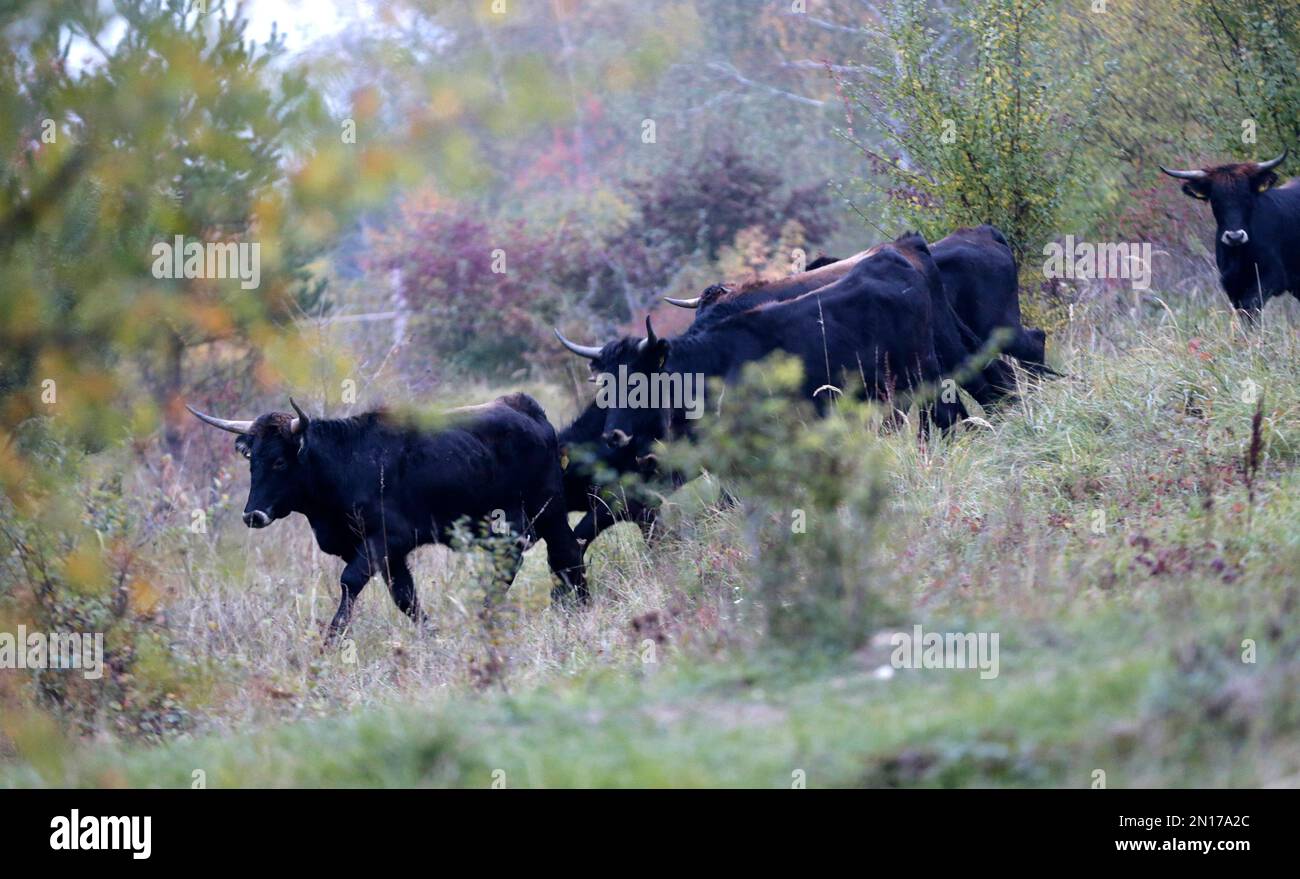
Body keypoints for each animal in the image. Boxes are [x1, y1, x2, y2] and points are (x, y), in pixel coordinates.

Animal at [187, 394, 587, 638]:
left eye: (279, 461)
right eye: (252, 461)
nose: (252, 515)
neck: (346, 463)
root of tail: (526, 408)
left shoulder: (385, 539)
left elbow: (350, 583)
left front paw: (330, 642)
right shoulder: (386, 554)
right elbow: (404, 596)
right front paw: (431, 635)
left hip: (548, 512)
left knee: (565, 554)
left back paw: (577, 609)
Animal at [1160, 150, 1295, 319]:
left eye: (1247, 196)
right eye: (1215, 200)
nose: (1235, 236)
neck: (1239, 254)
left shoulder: (1273, 276)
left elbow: (1250, 305)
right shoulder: (1231, 284)